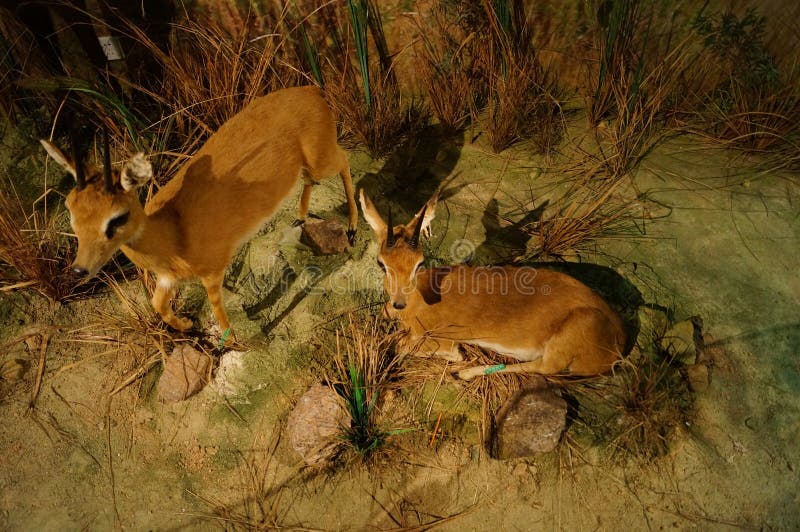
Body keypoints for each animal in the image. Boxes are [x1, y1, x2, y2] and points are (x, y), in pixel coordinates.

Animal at [41, 86, 358, 338]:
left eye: (117, 217)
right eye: (70, 208)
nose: (80, 269)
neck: (172, 232)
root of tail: (312, 89)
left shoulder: (213, 269)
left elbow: (217, 308)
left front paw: (236, 341)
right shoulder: (168, 279)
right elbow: (158, 305)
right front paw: (187, 325)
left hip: (322, 158)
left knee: (344, 160)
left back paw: (353, 229)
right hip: (307, 166)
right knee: (310, 179)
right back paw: (301, 217)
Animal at [359, 190, 626, 380]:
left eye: (419, 263)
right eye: (381, 263)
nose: (399, 303)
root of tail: (620, 339)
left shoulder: (439, 339)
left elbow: (401, 345)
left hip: (567, 340)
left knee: (543, 367)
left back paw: (465, 373)